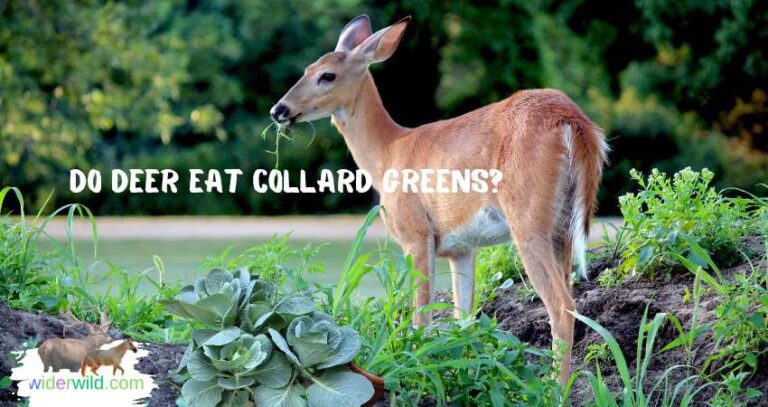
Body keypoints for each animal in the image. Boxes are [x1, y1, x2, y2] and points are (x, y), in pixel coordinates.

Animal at [270, 15, 607, 384]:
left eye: (327, 75)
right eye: (307, 68)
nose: (279, 109)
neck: (387, 153)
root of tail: (572, 120)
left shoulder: (416, 233)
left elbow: (422, 316)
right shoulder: (462, 248)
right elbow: (464, 319)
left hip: (528, 218)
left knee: (561, 305)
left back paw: (553, 389)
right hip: (563, 224)